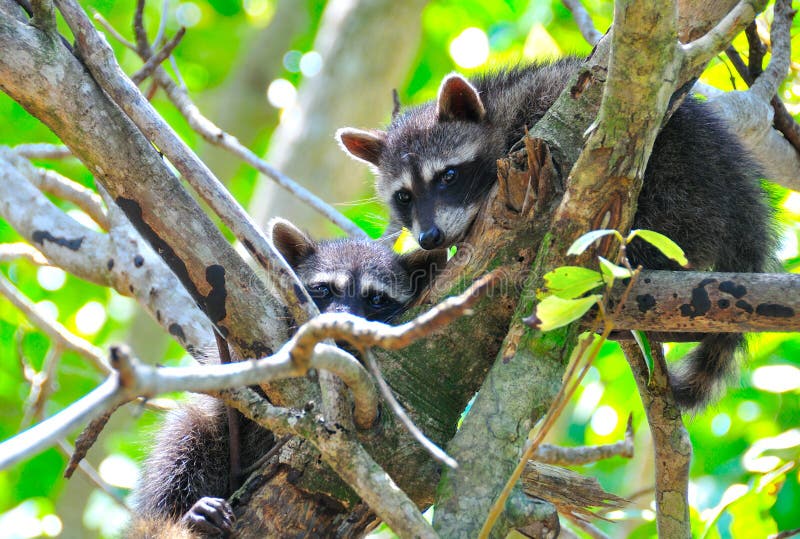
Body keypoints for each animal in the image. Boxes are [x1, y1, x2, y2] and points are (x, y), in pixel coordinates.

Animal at [337, 56, 777, 411]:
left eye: (448, 175)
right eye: (404, 196)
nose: (430, 237)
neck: (497, 112)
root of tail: (740, 191)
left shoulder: (537, 115)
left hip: (684, 184)